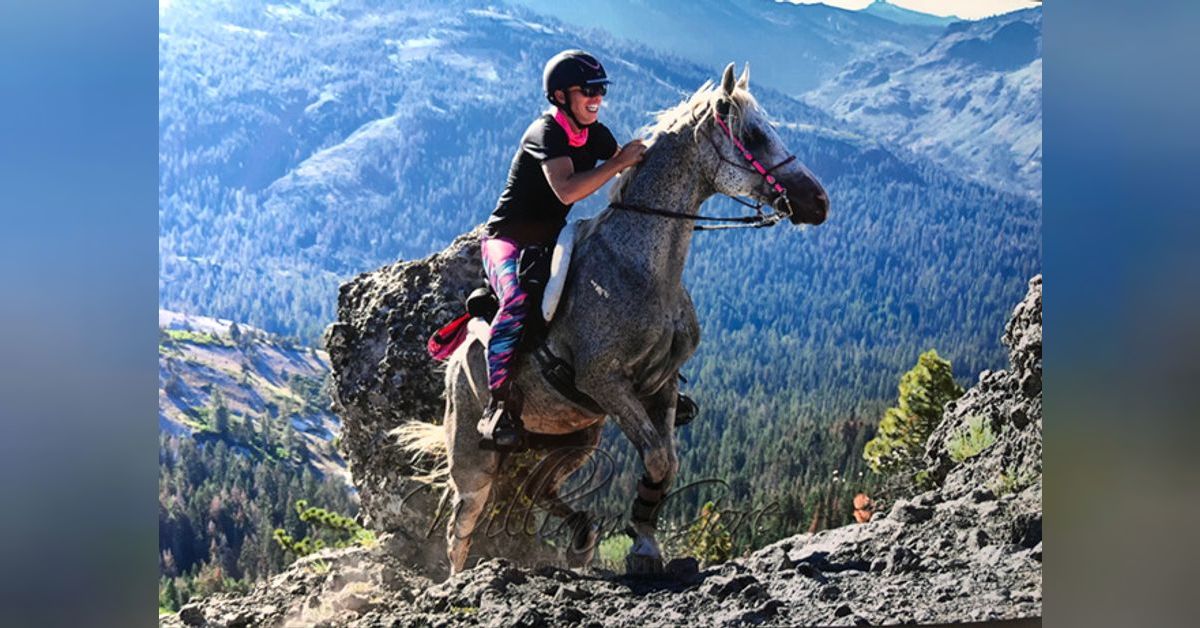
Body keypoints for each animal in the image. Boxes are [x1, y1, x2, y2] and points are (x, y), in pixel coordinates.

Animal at [398, 63, 829, 576]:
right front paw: (642, 551)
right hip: (474, 455)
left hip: (573, 434)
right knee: (461, 524)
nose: (818, 201)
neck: (642, 269)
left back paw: (582, 537)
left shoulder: (660, 385)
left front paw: (645, 542)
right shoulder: (606, 382)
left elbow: (665, 462)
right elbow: (658, 458)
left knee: (536, 487)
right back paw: (461, 577)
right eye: (754, 135)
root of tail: (455, 362)